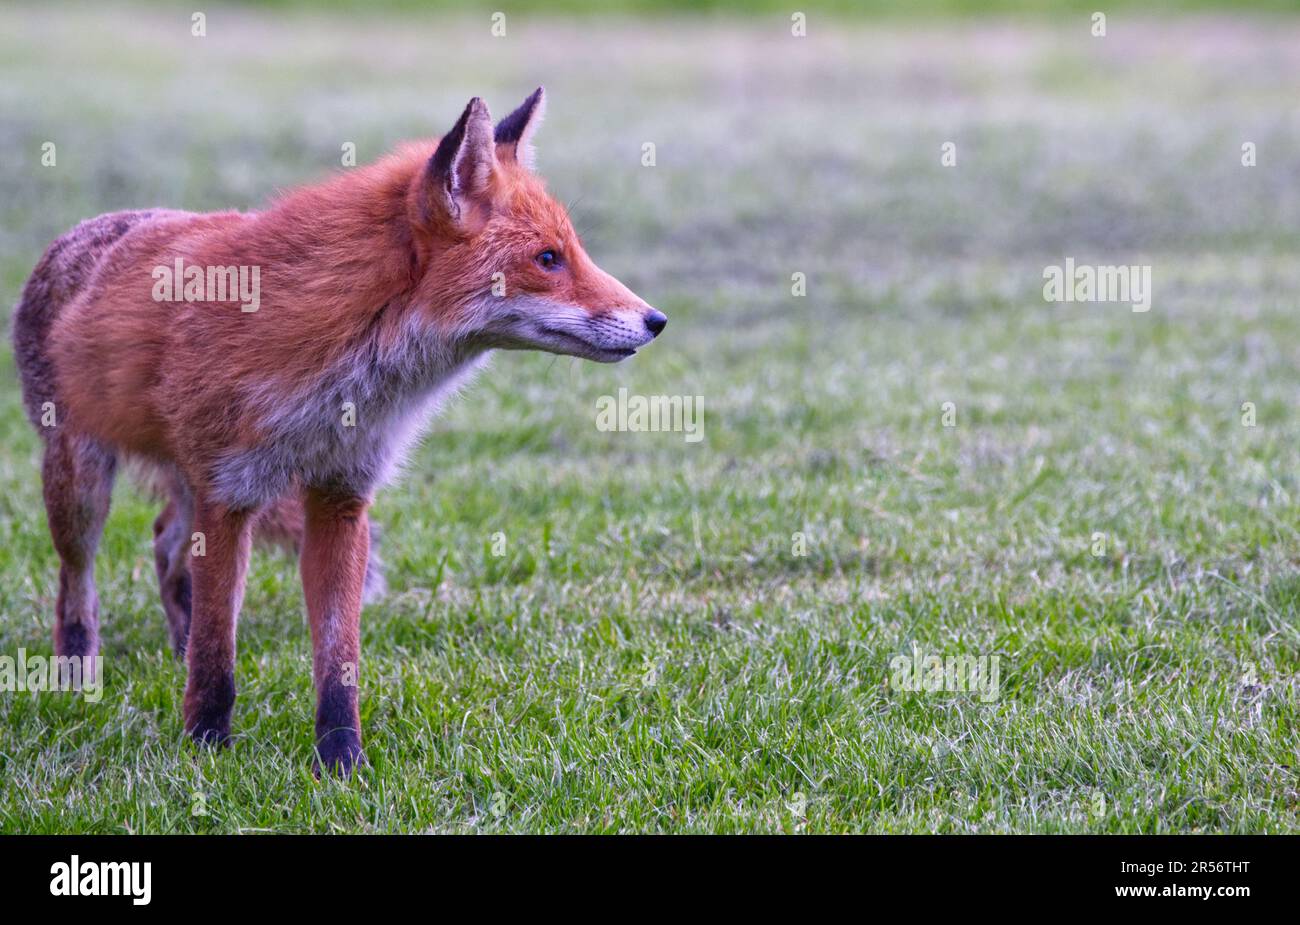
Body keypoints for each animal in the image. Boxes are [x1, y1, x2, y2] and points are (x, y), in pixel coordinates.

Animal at [12, 88, 666, 775]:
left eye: (572, 251)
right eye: (548, 259)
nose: (656, 320)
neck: (345, 374)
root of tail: (84, 229)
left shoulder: (341, 495)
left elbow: (336, 656)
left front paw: (340, 761)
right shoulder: (231, 495)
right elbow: (219, 655)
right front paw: (208, 748)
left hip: (188, 483)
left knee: (166, 545)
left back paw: (174, 647)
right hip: (84, 482)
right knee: (78, 582)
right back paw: (77, 675)